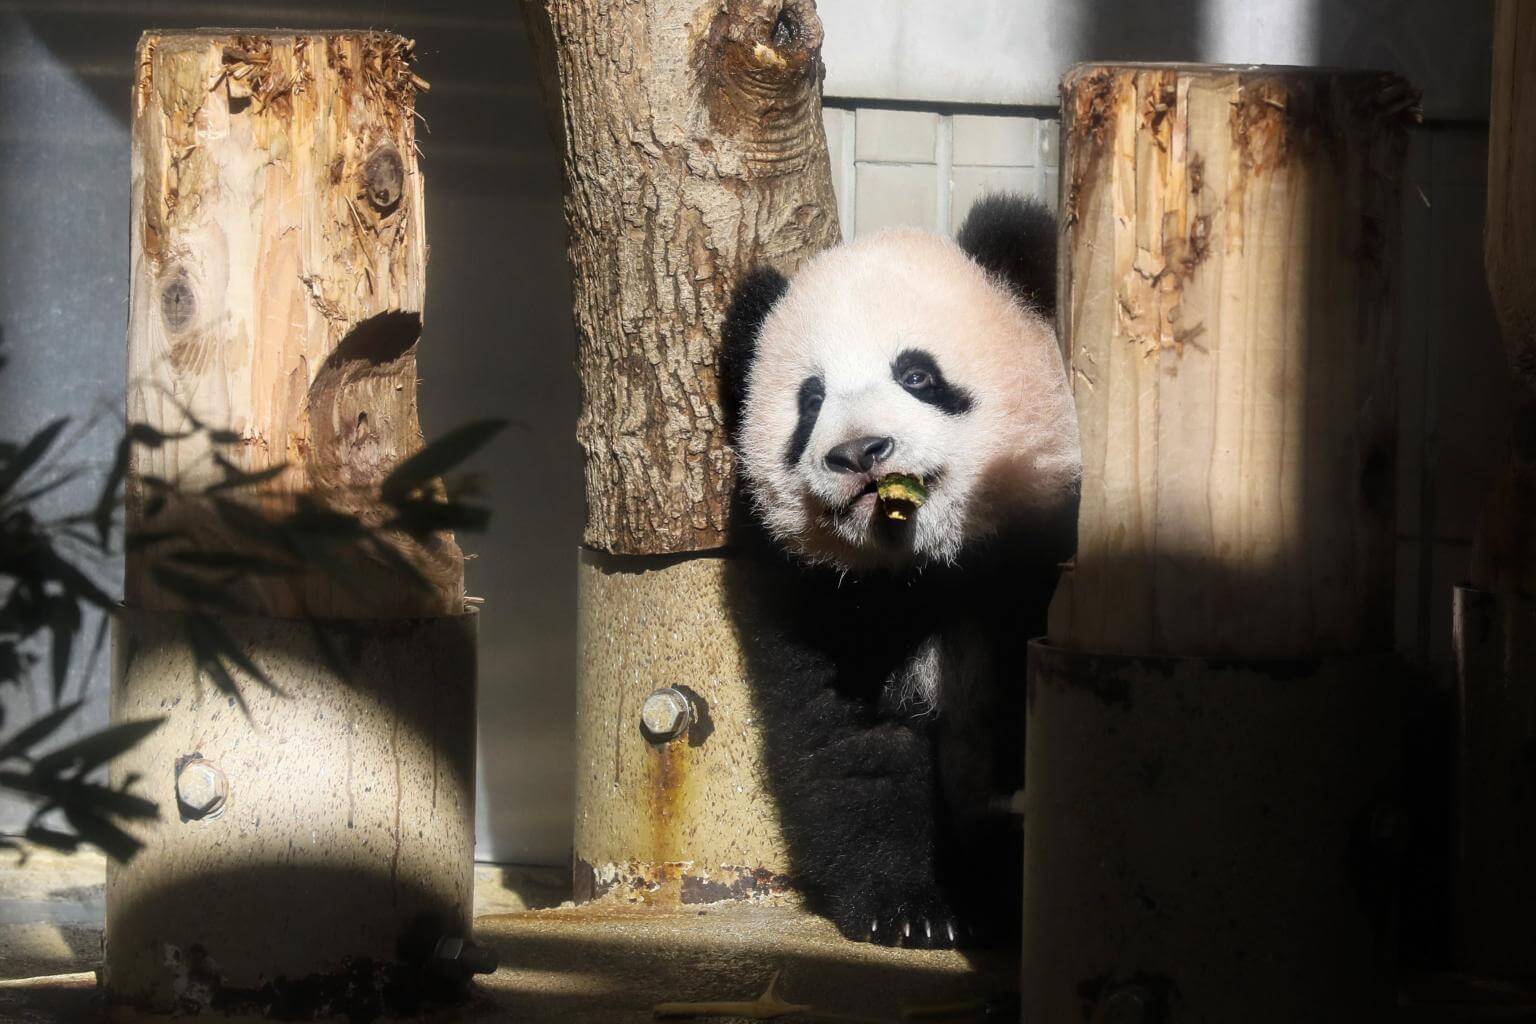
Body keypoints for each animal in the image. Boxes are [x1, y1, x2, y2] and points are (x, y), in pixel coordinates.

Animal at [718, 195, 1080, 949]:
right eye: (811, 401)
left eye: (918, 376)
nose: (860, 452)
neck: (925, 565)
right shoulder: (823, 598)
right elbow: (851, 740)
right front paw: (910, 909)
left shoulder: (1033, 550)